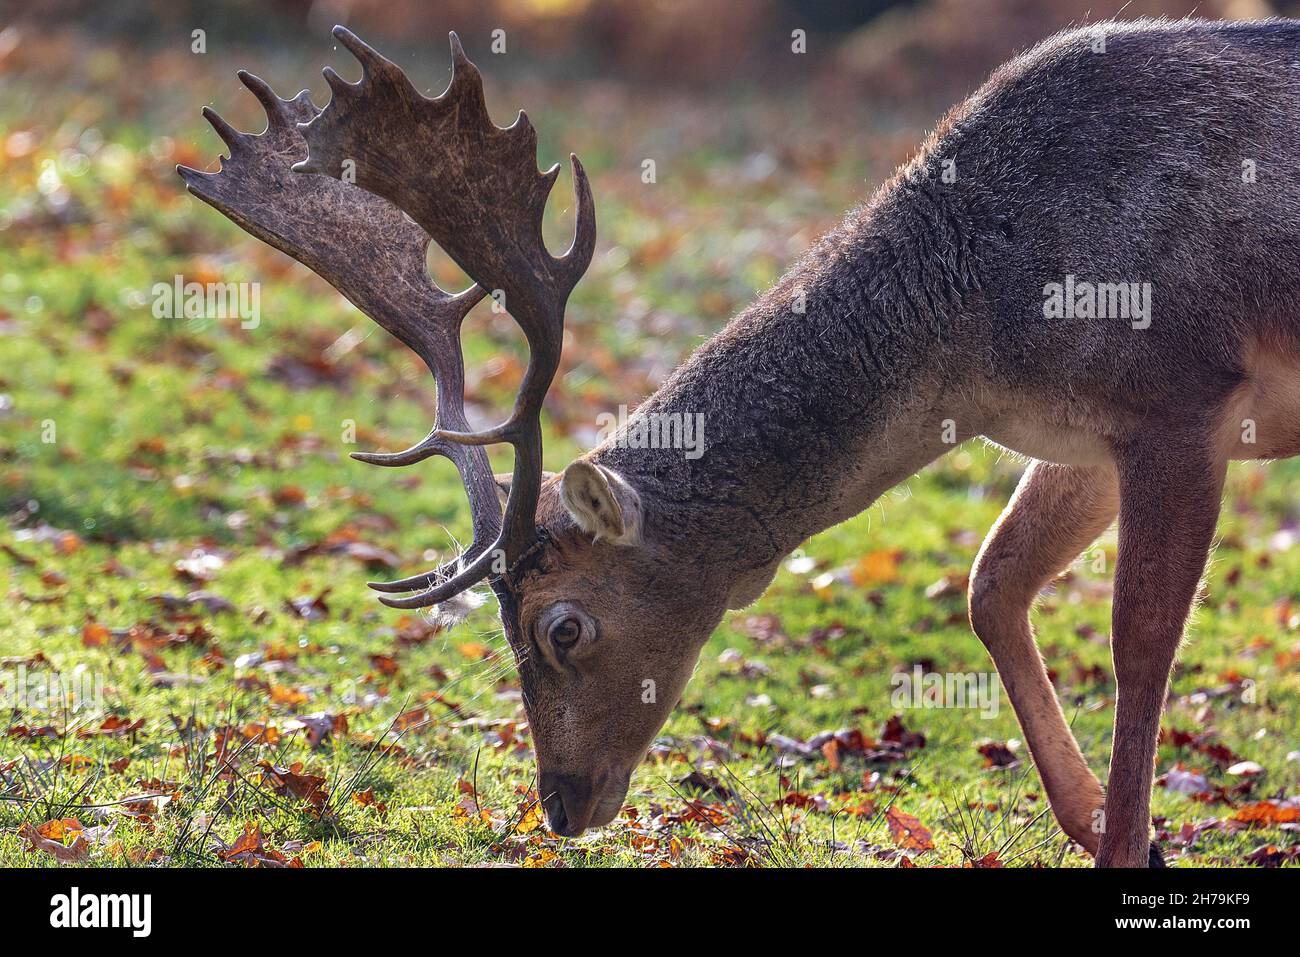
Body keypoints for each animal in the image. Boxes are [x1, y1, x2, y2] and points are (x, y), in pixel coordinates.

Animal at [178, 18, 1300, 867]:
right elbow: (992, 584)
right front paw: (1111, 826)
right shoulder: (1081, 440)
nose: (560, 805)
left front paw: (1128, 845)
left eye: (562, 627)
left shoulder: (1180, 396)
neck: (984, 321)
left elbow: (1140, 641)